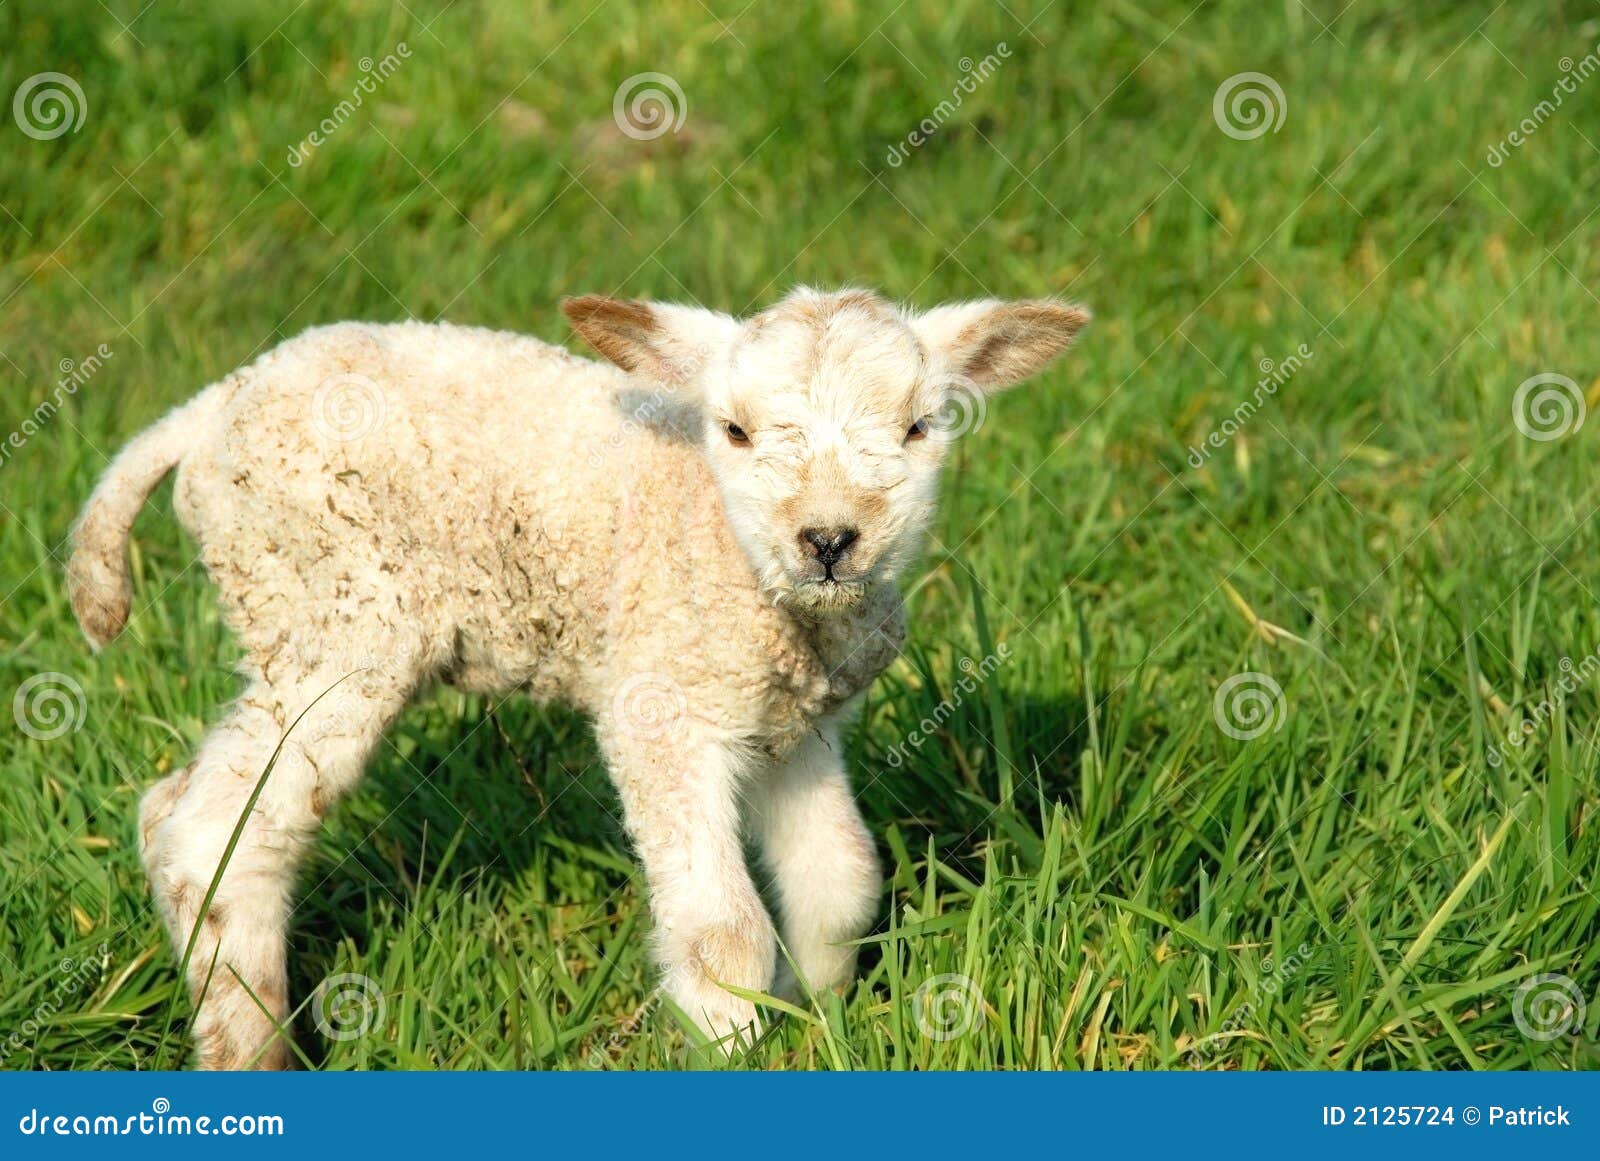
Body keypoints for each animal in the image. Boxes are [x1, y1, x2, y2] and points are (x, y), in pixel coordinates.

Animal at [68, 286, 1089, 1069]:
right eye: (735, 430)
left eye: (918, 428)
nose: (829, 539)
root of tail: (210, 408)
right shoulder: (661, 701)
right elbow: (721, 930)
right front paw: (734, 1044)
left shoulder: (791, 722)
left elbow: (840, 880)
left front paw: (816, 1014)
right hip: (333, 613)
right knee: (217, 831)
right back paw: (253, 1051)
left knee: (170, 806)